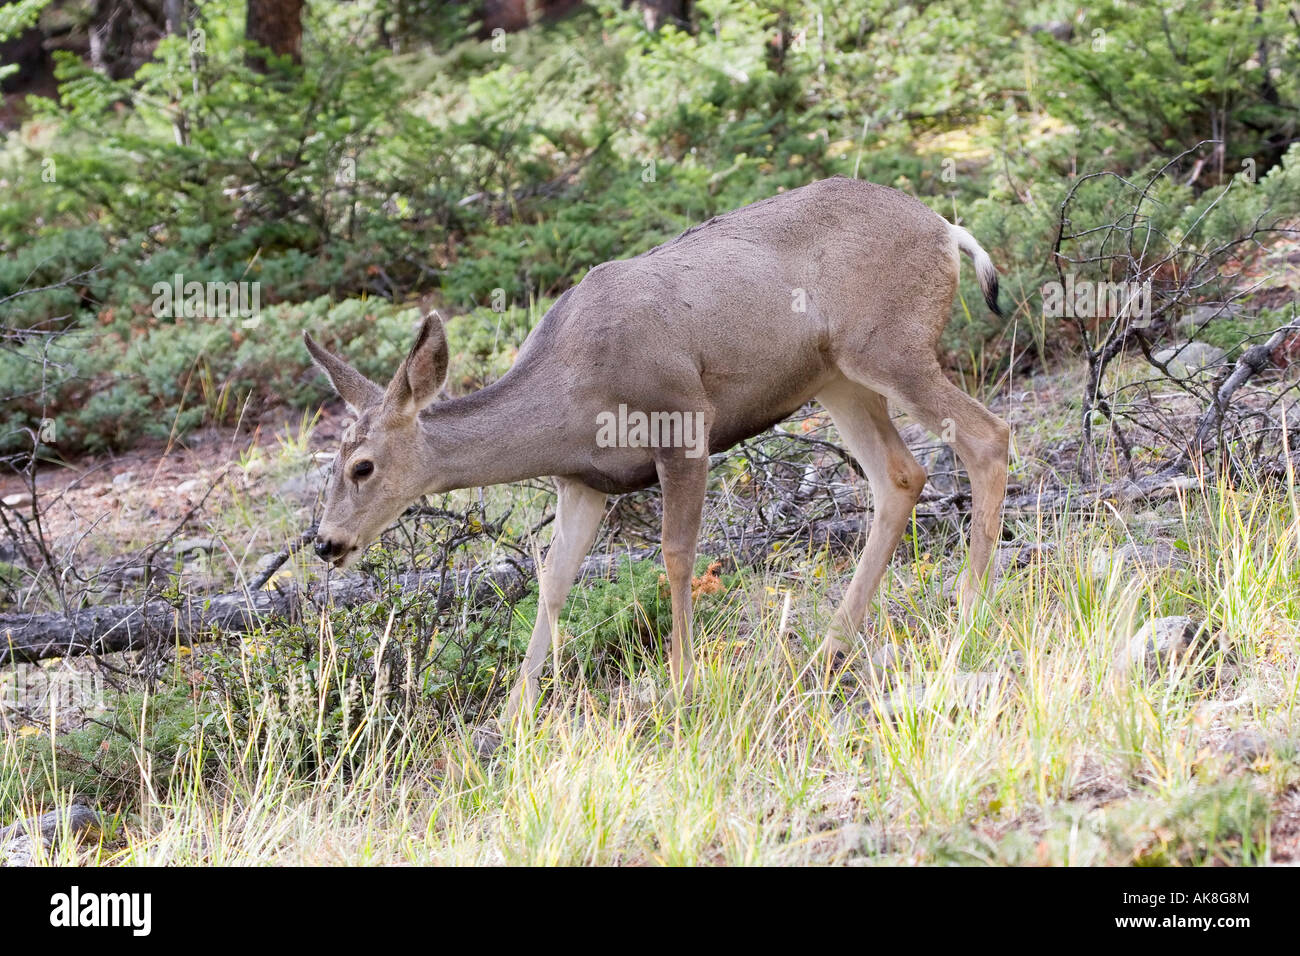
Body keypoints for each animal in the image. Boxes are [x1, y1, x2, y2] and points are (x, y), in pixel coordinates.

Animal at [303, 176, 1010, 723]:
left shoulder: (684, 420)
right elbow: (553, 579)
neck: (571, 393)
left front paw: (682, 683)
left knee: (989, 436)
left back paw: (968, 619)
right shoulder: (583, 482)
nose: (326, 543)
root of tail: (949, 231)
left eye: (362, 466)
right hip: (837, 377)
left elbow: (675, 555)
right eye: (330, 468)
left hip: (891, 346)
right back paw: (828, 650)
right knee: (901, 474)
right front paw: (513, 716)